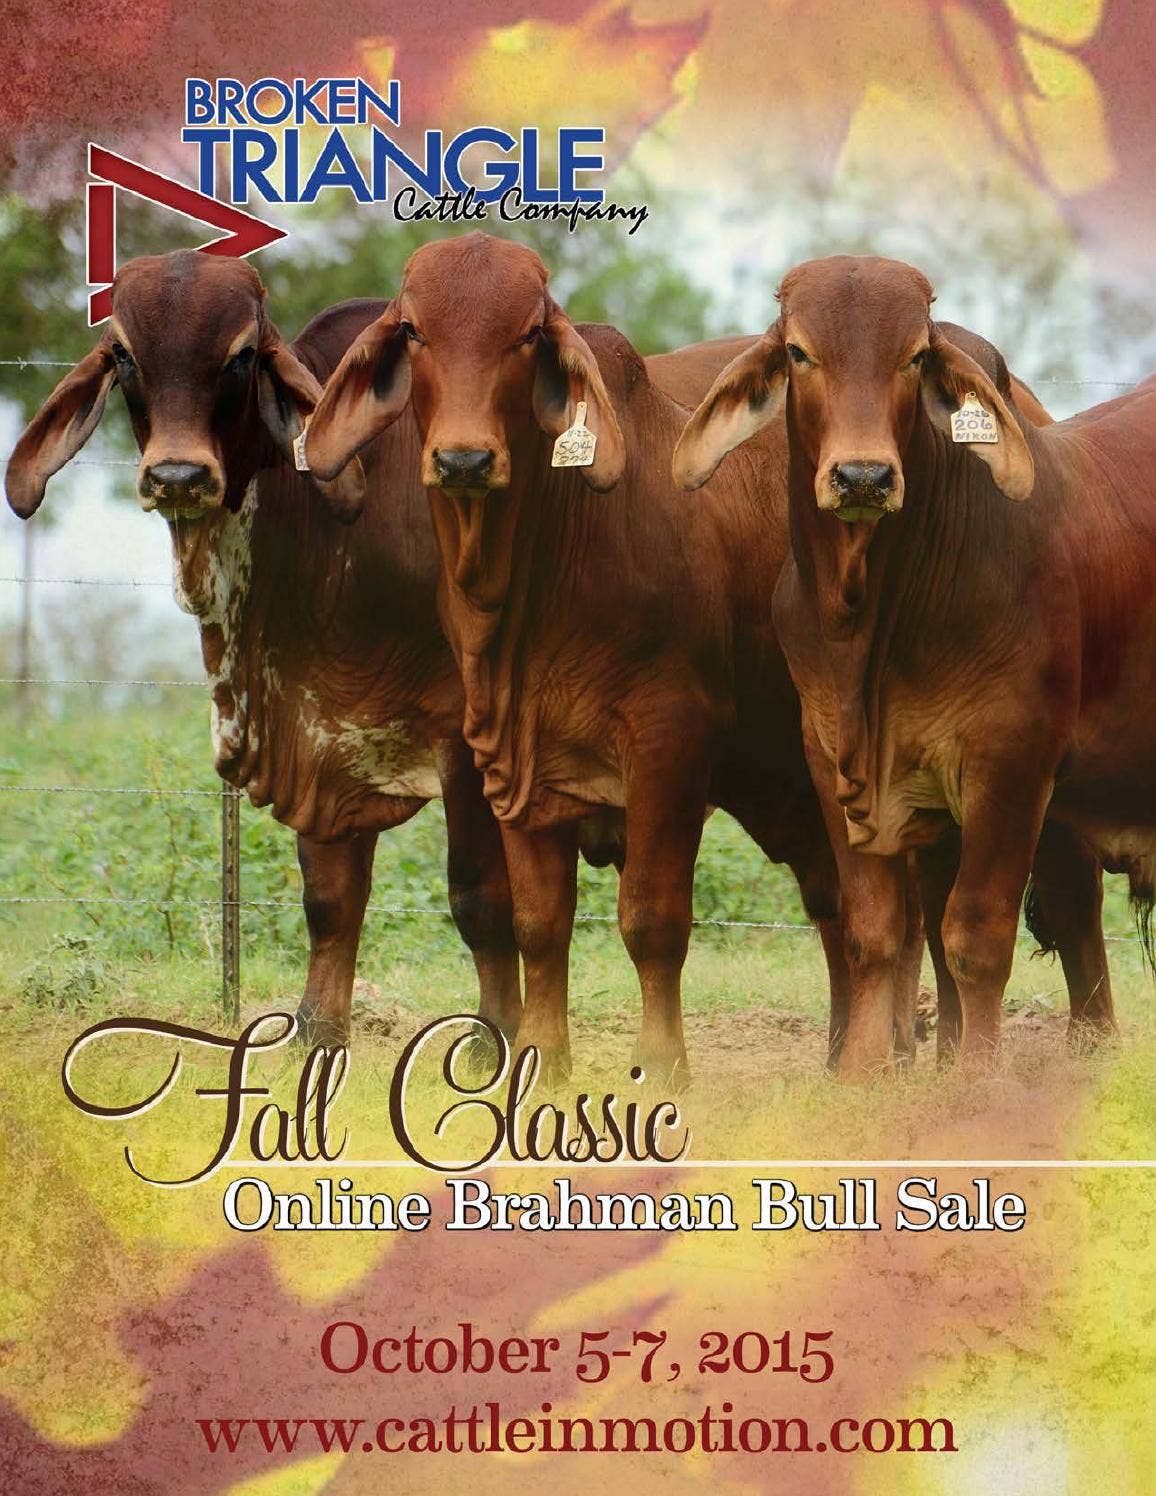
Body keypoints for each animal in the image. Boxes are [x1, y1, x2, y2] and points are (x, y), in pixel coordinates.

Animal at [5, 249, 522, 1047]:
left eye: (242, 356)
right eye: (123, 355)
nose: (178, 476)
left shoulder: (467, 736)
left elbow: (480, 900)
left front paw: (496, 1046)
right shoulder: (320, 730)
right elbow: (331, 898)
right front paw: (315, 1035)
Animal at [302, 231, 870, 1084]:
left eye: (525, 337)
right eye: (415, 333)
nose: (465, 461)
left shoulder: (669, 742)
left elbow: (652, 918)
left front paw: (661, 1065)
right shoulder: (512, 760)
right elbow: (539, 922)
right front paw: (540, 1056)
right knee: (838, 896)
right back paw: (851, 1056)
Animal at [674, 253, 1152, 1076]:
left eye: (915, 356)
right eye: (799, 353)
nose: (863, 477)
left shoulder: (1012, 763)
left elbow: (974, 936)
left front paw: (976, 1078)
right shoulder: (832, 759)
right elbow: (875, 931)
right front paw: (864, 1074)